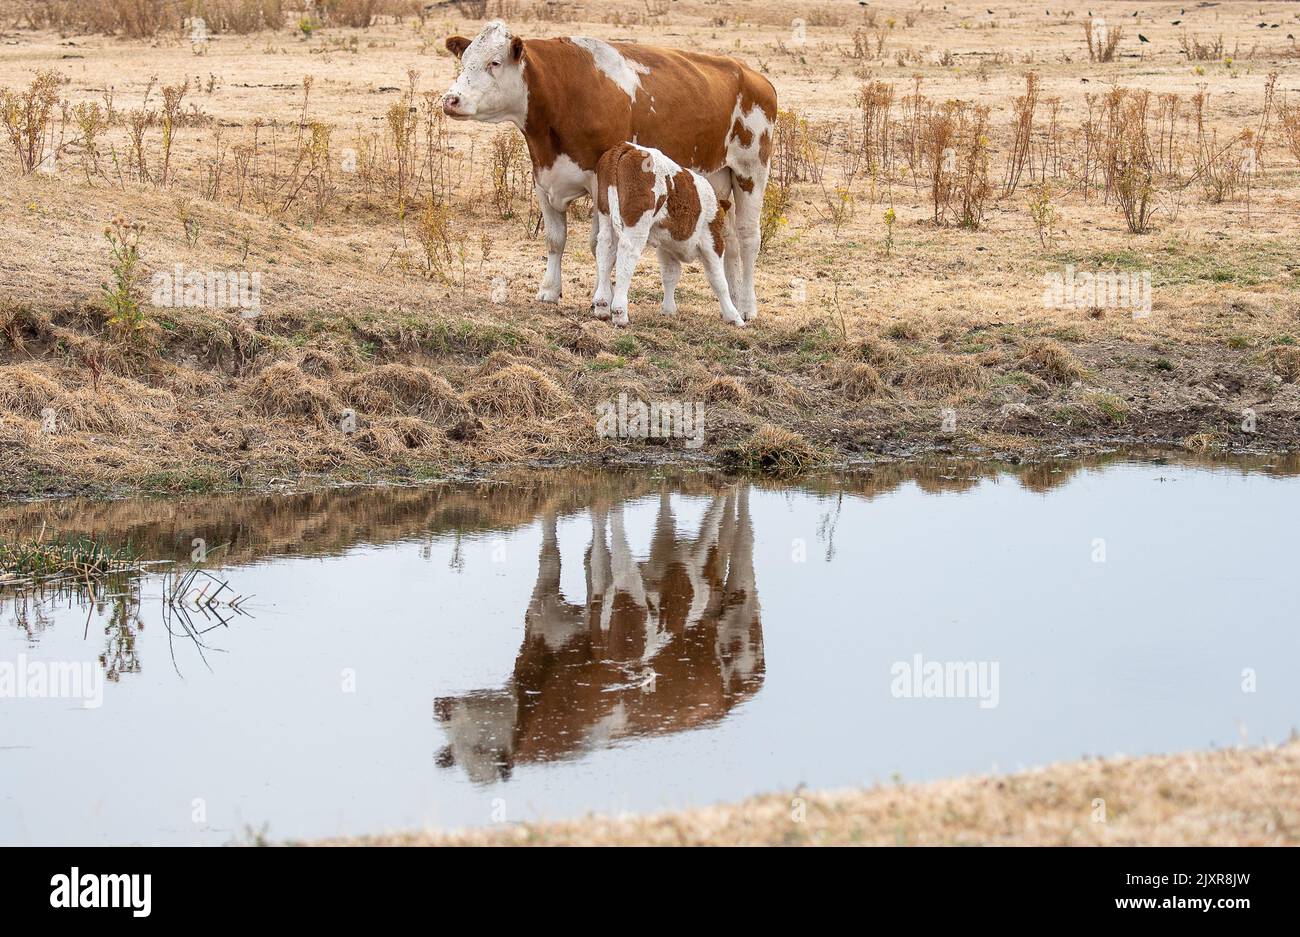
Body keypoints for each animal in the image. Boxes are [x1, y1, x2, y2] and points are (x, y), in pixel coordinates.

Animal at [593, 142, 741, 328]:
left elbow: (671, 274)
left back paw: (601, 306)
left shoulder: (666, 246)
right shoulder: (713, 242)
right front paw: (734, 316)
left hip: (605, 212)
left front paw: (668, 310)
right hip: (637, 222)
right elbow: (719, 280)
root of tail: (628, 146)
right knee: (627, 254)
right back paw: (620, 313)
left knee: (605, 249)